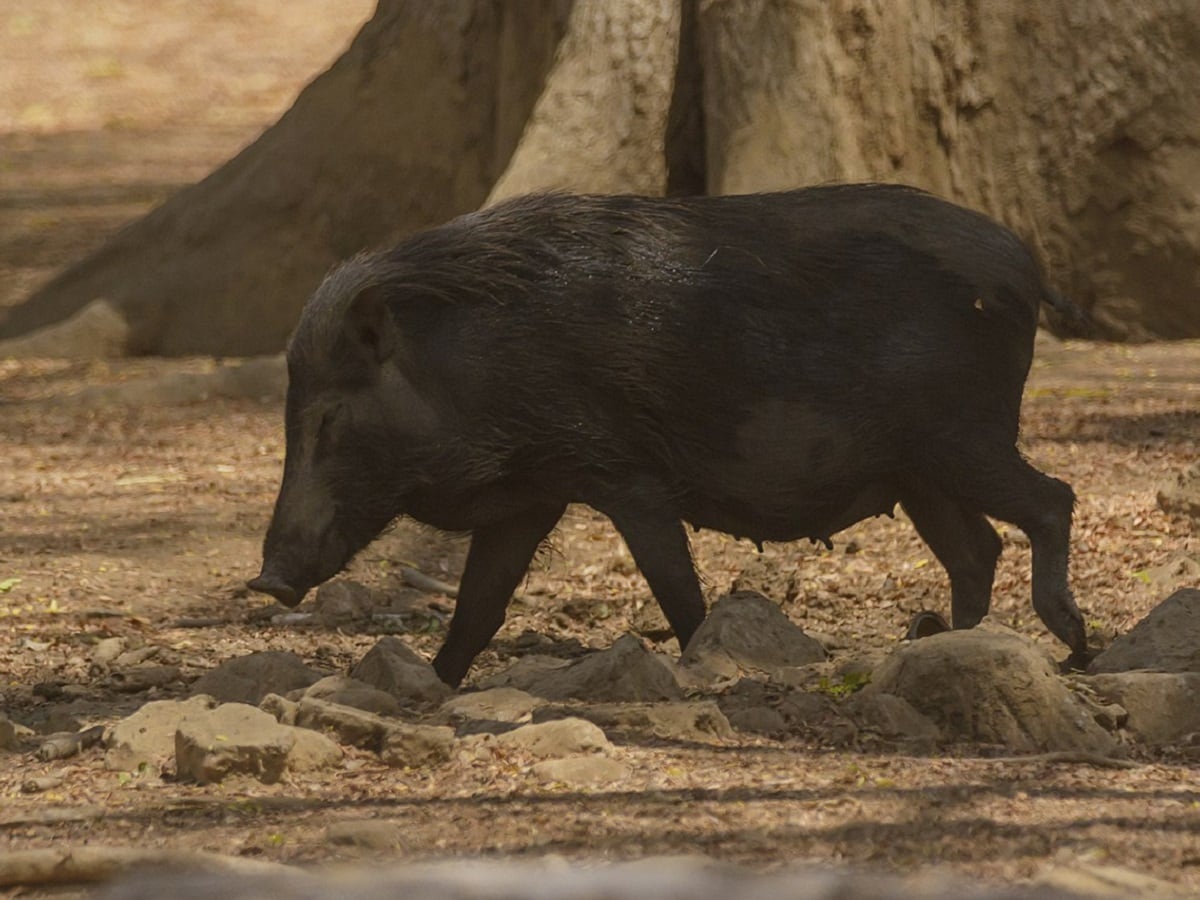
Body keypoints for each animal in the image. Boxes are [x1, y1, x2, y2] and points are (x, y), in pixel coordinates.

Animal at [249, 184, 1089, 687]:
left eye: (328, 416)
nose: (265, 581)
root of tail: (1026, 270)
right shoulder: (535, 492)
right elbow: (480, 604)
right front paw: (431, 683)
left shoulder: (626, 476)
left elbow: (678, 590)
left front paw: (703, 666)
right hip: (921, 475)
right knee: (977, 549)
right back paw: (936, 645)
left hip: (965, 440)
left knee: (1053, 499)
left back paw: (1074, 644)